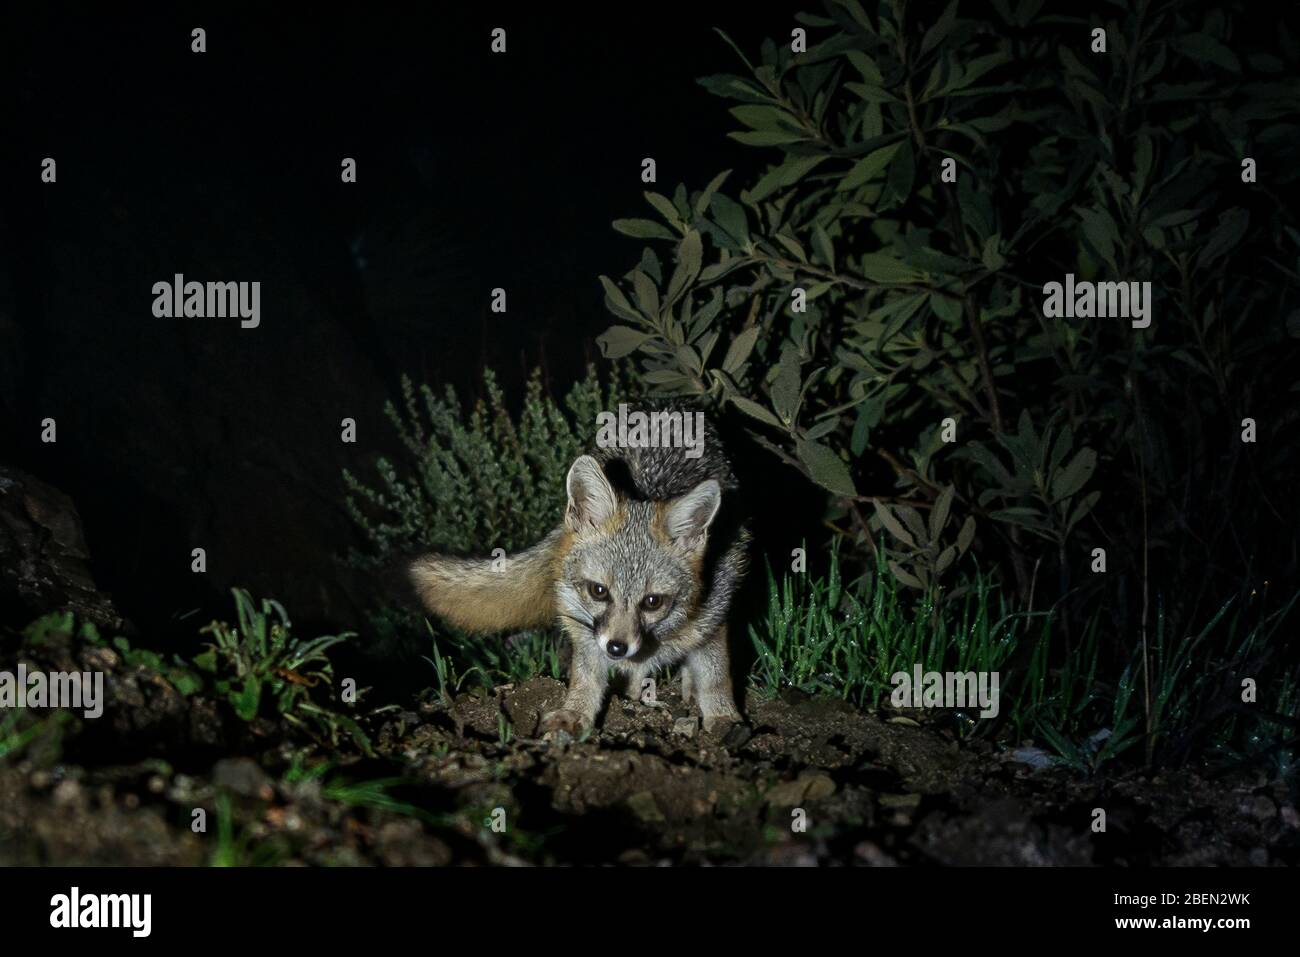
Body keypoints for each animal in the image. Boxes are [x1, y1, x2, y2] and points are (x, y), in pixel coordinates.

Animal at [407, 405, 748, 737]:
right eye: (599, 591)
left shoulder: (714, 613)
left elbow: (716, 675)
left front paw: (723, 717)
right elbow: (586, 677)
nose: (617, 647)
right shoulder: (586, 627)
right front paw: (577, 711)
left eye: (652, 602)